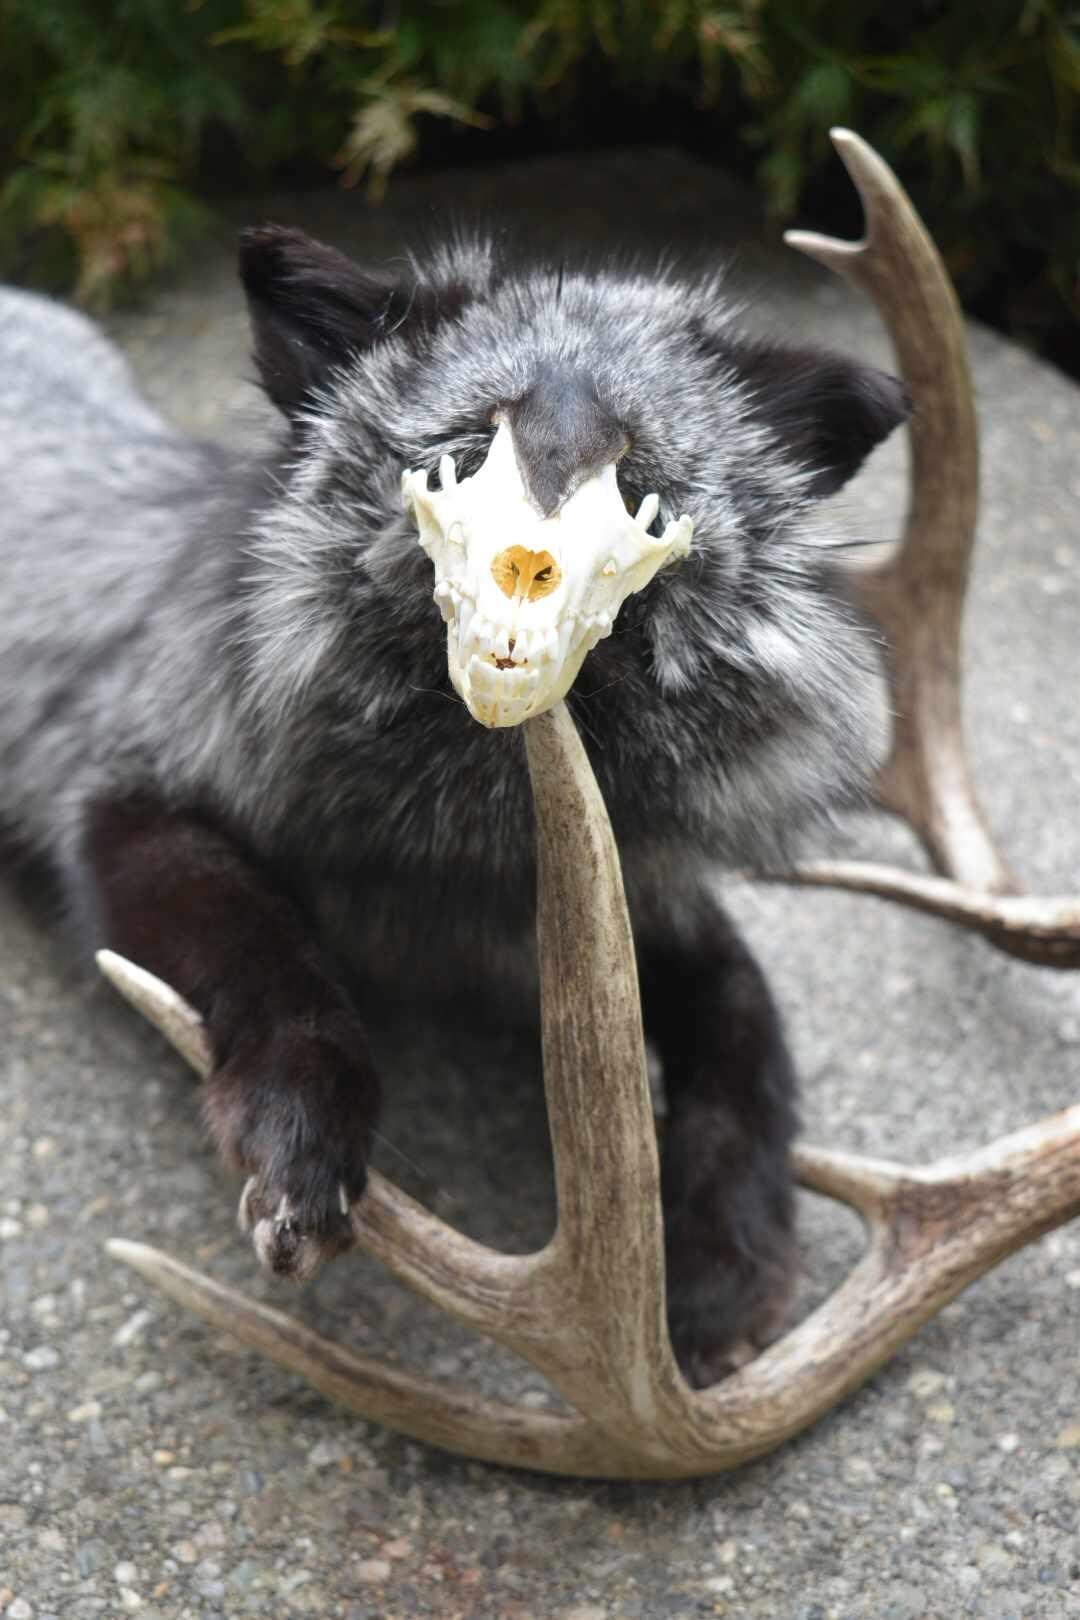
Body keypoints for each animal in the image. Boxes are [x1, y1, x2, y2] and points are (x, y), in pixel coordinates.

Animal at [0, 230, 908, 1386]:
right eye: (466, 454)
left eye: (640, 490)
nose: (527, 580)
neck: (455, 859)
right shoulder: (118, 793)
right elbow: (274, 963)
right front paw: (304, 1138)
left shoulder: (641, 897)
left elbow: (749, 1036)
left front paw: (722, 1263)